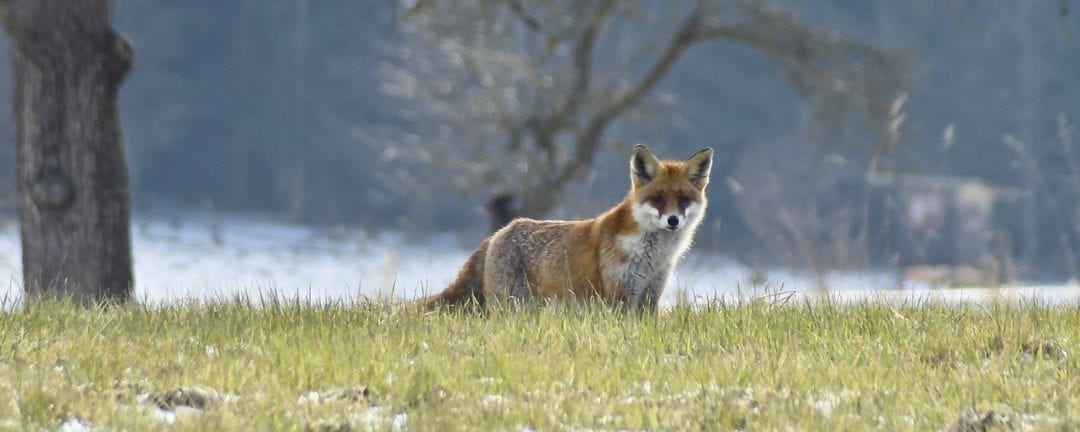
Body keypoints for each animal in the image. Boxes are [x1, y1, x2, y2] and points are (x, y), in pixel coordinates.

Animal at [422, 144, 713, 313]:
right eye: (658, 198)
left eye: (683, 199)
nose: (673, 220)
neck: (652, 256)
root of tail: (498, 233)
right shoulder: (620, 295)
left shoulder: (650, 295)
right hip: (511, 308)